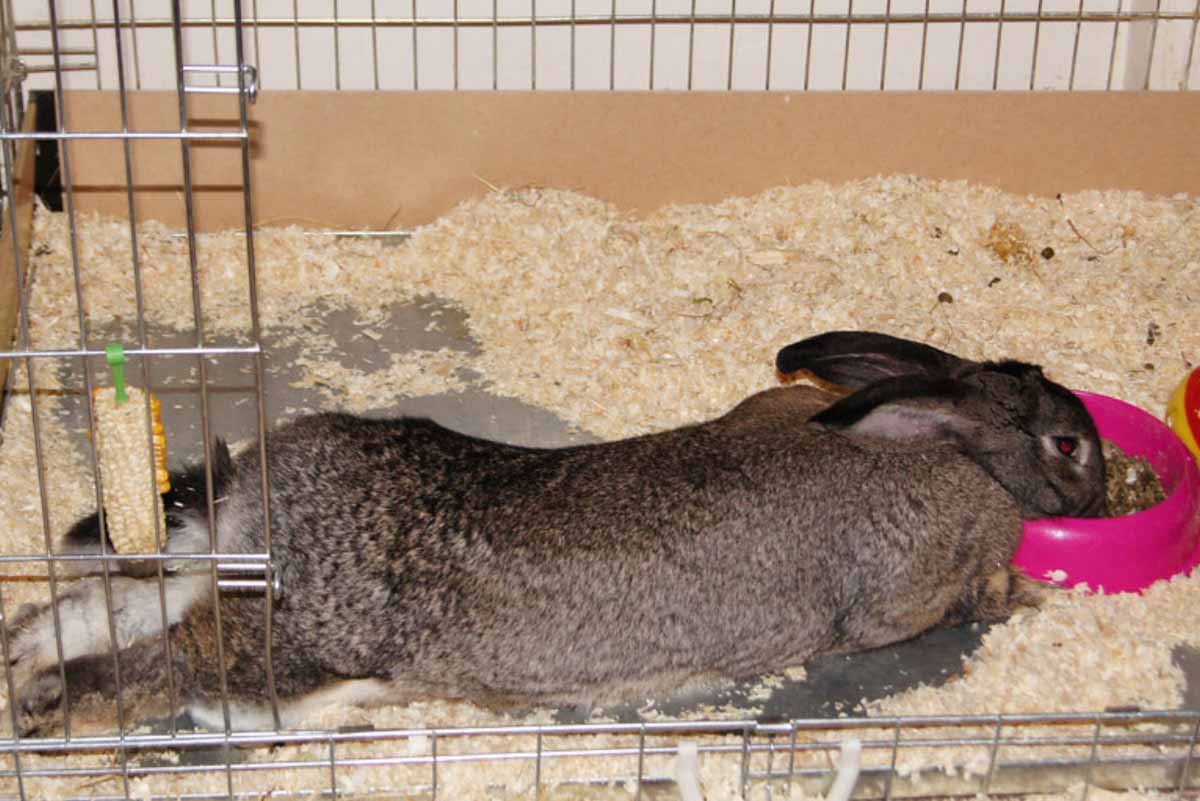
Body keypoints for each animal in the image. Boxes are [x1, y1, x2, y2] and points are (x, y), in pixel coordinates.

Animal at [4, 330, 1106, 735]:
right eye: (1067, 443)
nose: (1099, 505)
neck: (950, 445)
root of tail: (263, 504)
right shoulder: (894, 597)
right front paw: (1020, 594)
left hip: (220, 591)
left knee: (103, 609)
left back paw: (19, 666)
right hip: (290, 643)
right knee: (160, 665)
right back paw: (44, 704)